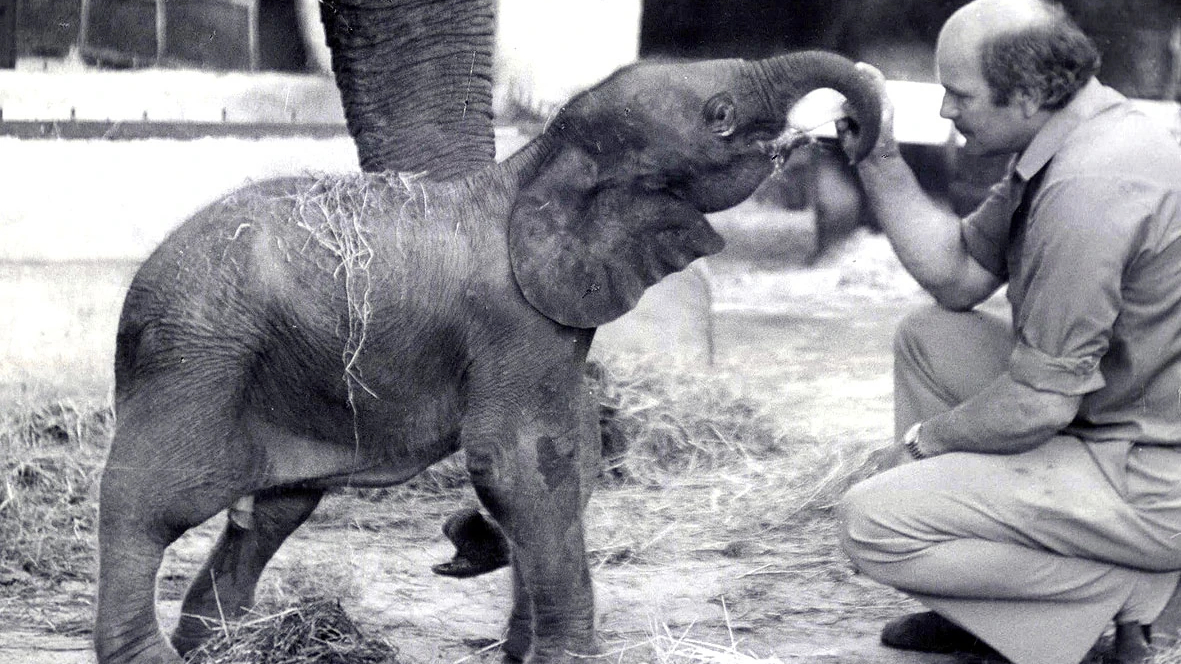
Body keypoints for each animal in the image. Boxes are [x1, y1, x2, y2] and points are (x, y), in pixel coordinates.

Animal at [92, 6, 881, 664]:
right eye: (720, 115)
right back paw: (156, 656)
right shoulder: (511, 321)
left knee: (272, 510)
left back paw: (220, 648)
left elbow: (568, 451)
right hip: (199, 356)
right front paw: (561, 654)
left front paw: (515, 635)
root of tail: (134, 299)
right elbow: (520, 461)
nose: (850, 131)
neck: (533, 165)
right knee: (151, 502)